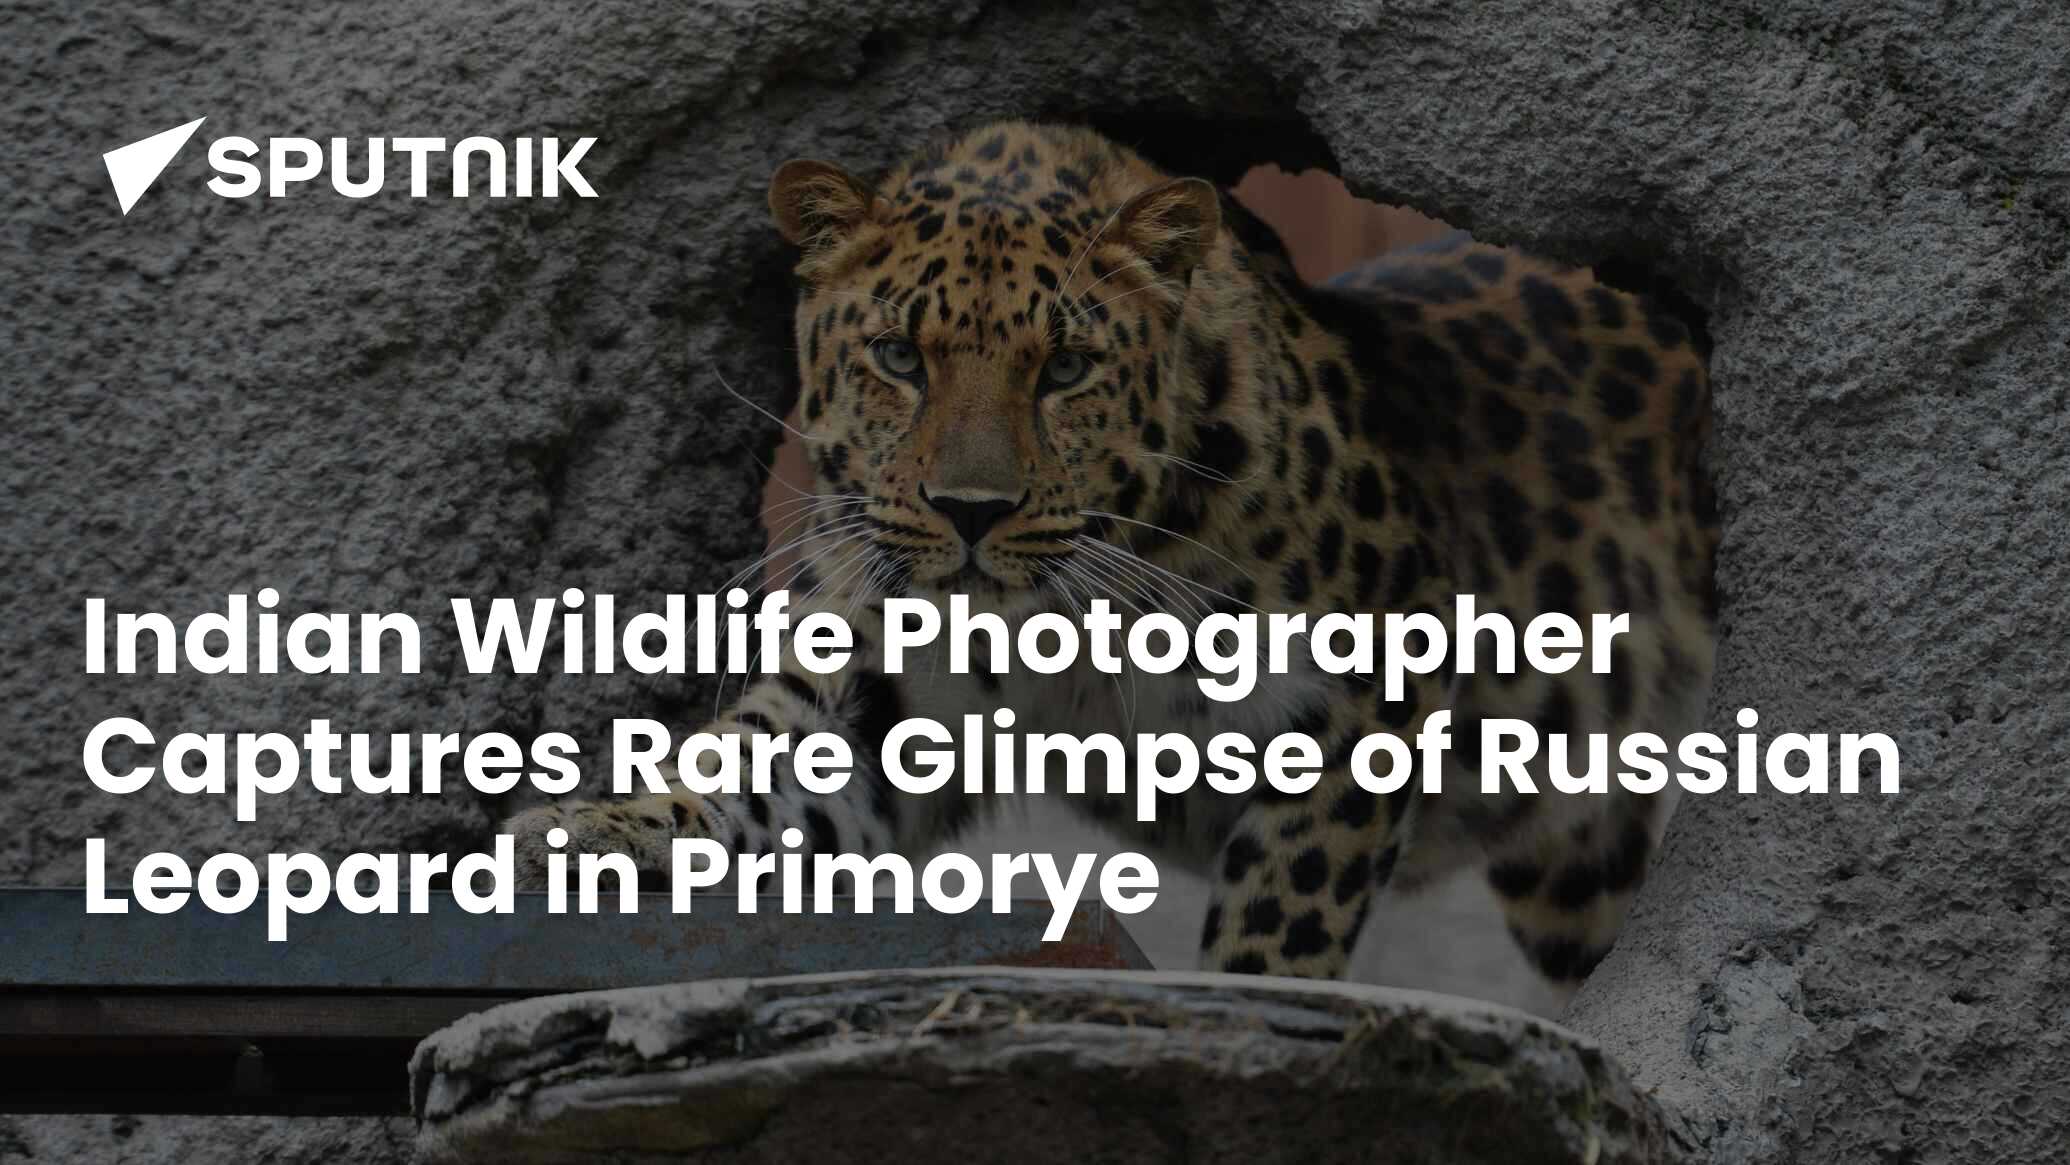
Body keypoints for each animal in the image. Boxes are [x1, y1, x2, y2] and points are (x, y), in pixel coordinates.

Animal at [506, 120, 1720, 991]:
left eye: (1066, 368)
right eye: (898, 356)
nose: (970, 511)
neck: (1059, 616)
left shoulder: (1366, 695)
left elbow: (1282, 916)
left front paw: (1248, 1003)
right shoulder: (874, 688)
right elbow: (747, 765)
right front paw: (588, 828)